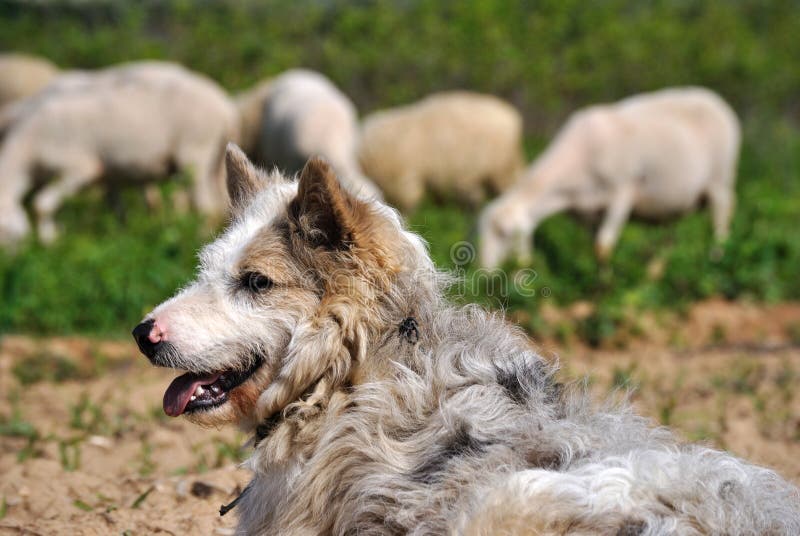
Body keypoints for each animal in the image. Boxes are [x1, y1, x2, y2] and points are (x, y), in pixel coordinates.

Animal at [0, 61, 239, 246]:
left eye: (6, 233)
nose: (13, 265)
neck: (26, 152)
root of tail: (225, 109)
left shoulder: (79, 167)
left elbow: (41, 205)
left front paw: (49, 242)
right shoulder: (107, 173)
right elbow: (116, 209)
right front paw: (119, 237)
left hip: (196, 151)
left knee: (205, 206)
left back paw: (198, 239)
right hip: (216, 158)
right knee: (220, 203)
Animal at [479, 87, 741, 268]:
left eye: (503, 234)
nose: (485, 274)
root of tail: (716, 101)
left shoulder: (622, 191)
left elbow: (603, 247)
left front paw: (604, 289)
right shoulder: (590, 212)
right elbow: (593, 247)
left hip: (720, 180)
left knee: (721, 223)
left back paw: (716, 260)